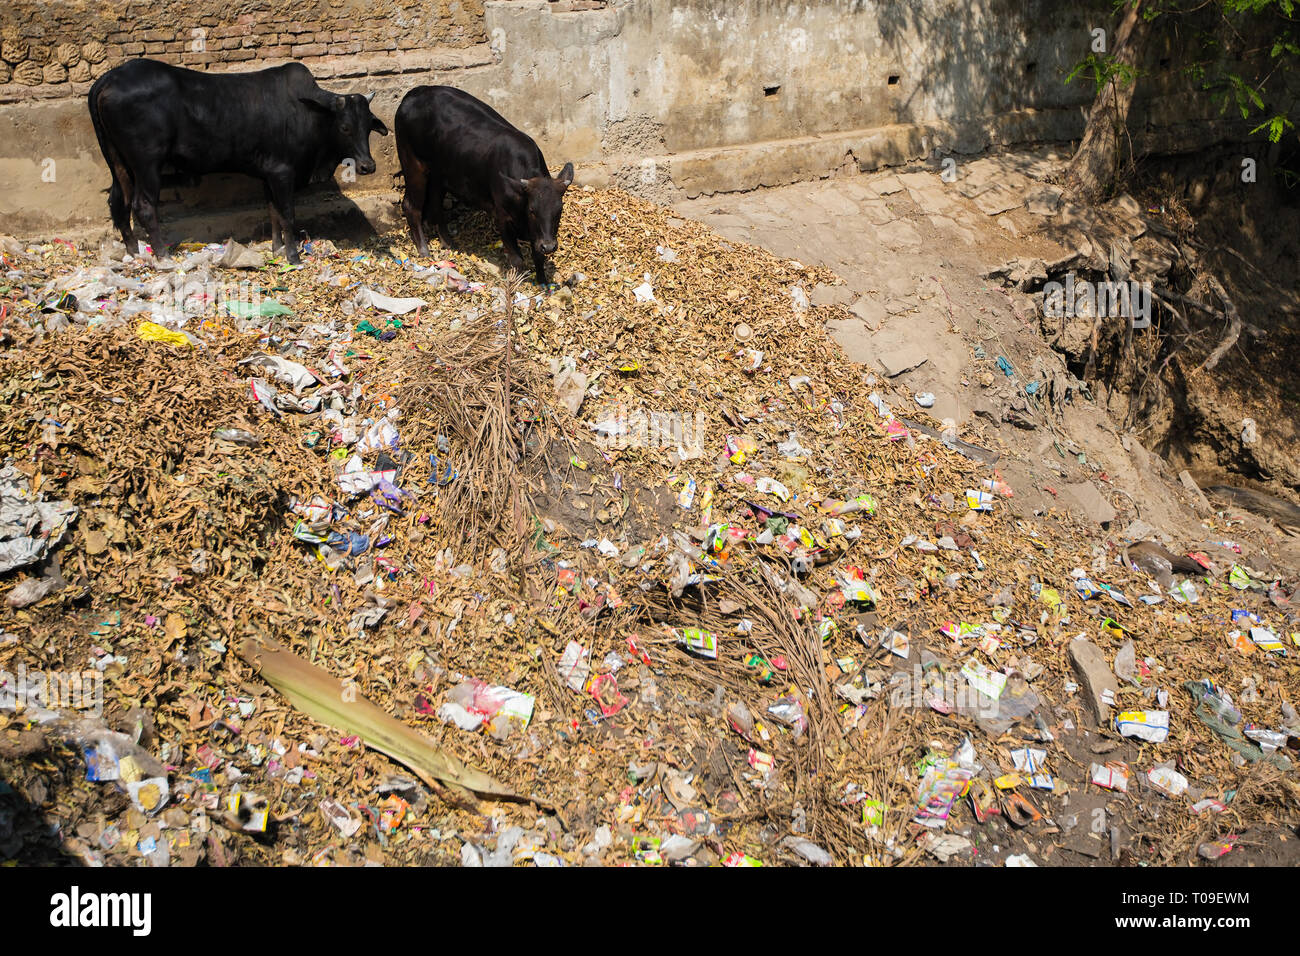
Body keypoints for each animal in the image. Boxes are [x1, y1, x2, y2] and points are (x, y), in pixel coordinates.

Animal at [88, 58, 390, 264]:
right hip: (147, 164)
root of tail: (111, 77)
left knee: (119, 202)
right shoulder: (283, 173)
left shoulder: (269, 174)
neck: (308, 113)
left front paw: (277, 248)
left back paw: (132, 252)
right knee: (143, 205)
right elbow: (287, 213)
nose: (368, 166)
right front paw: (293, 256)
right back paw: (163, 256)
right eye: (345, 127)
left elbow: (273, 212)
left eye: (368, 126)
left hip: (120, 164)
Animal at [394, 86, 573, 283]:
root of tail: (413, 93)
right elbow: (517, 259)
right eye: (533, 210)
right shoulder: (502, 216)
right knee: (411, 206)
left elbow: (538, 256)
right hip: (413, 163)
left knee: (435, 205)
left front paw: (542, 282)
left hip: (439, 174)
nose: (549, 246)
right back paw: (424, 250)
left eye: (559, 210)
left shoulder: (538, 233)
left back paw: (448, 242)